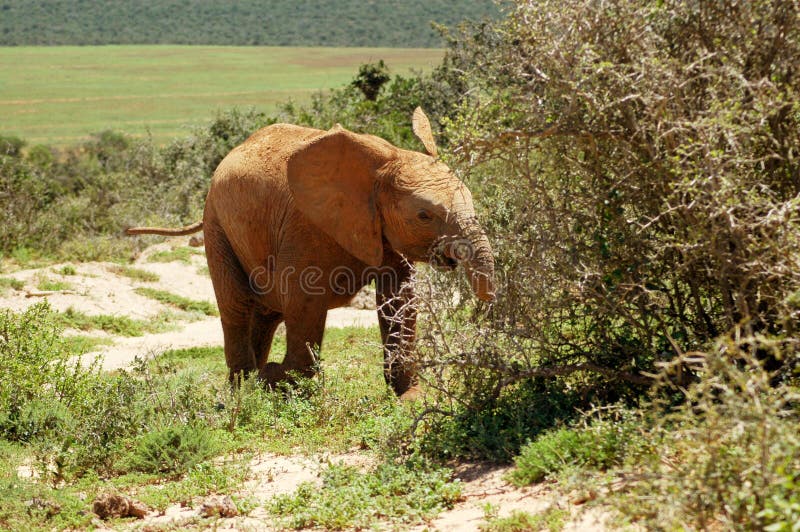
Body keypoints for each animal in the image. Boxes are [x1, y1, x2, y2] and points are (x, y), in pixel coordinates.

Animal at [127, 108, 495, 399]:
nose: (487, 301)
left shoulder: (382, 233)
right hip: (216, 224)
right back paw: (243, 392)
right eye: (424, 215)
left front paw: (410, 398)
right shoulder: (306, 226)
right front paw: (280, 382)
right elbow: (305, 302)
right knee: (237, 306)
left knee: (266, 314)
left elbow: (399, 300)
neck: (384, 159)